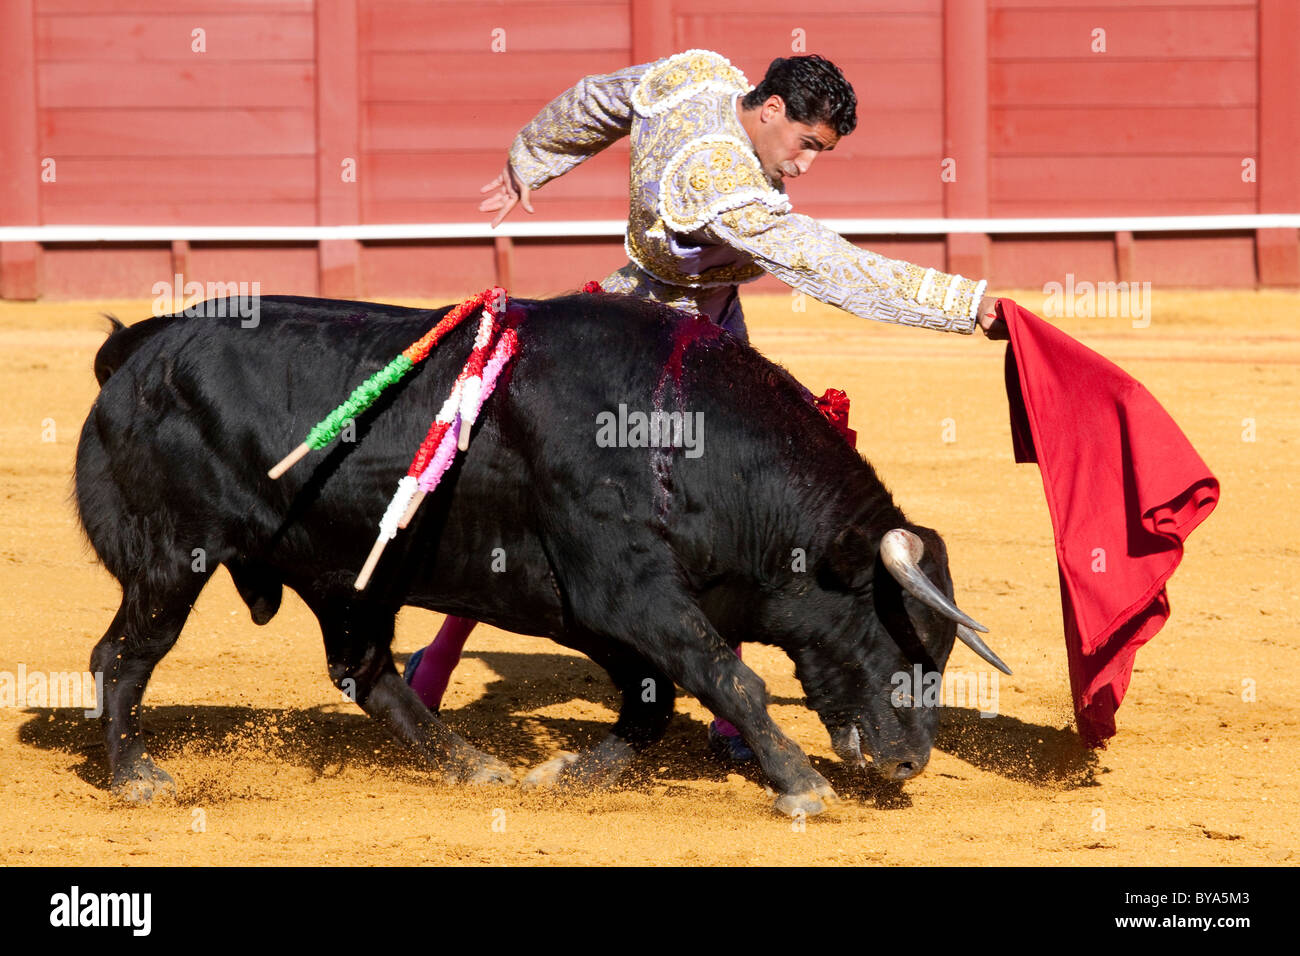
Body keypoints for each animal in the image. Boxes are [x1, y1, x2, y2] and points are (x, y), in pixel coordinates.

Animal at [74, 291, 1008, 817]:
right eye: (900, 637)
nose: (909, 763)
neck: (676, 439)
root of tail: (137, 351)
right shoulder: (625, 594)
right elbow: (729, 676)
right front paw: (802, 785)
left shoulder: (604, 613)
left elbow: (654, 705)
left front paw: (563, 775)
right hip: (172, 561)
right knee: (122, 655)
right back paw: (136, 777)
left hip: (344, 578)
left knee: (368, 673)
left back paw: (477, 767)